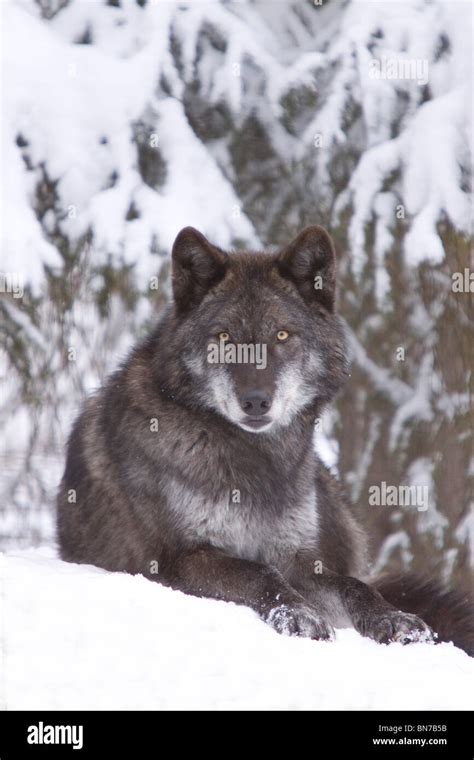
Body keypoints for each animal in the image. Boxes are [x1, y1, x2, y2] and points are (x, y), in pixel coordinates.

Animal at [57, 225, 473, 654]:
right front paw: (299, 614)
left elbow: (352, 586)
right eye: (224, 337)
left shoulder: (298, 558)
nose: (256, 401)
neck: (255, 456)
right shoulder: (179, 559)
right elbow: (259, 573)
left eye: (282, 335)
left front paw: (393, 618)